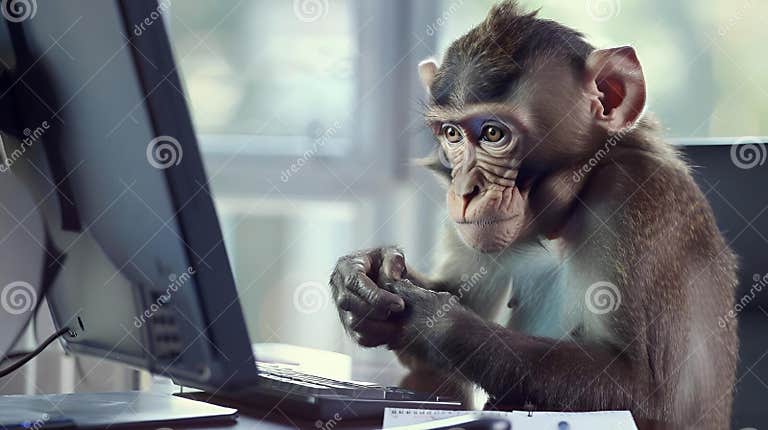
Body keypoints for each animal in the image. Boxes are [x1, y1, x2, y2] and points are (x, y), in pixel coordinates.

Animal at [328, 2, 739, 428]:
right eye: (452, 134)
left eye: (493, 133)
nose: (464, 189)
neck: (565, 213)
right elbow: (454, 293)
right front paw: (361, 275)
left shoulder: (633, 192)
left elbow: (646, 392)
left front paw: (434, 321)